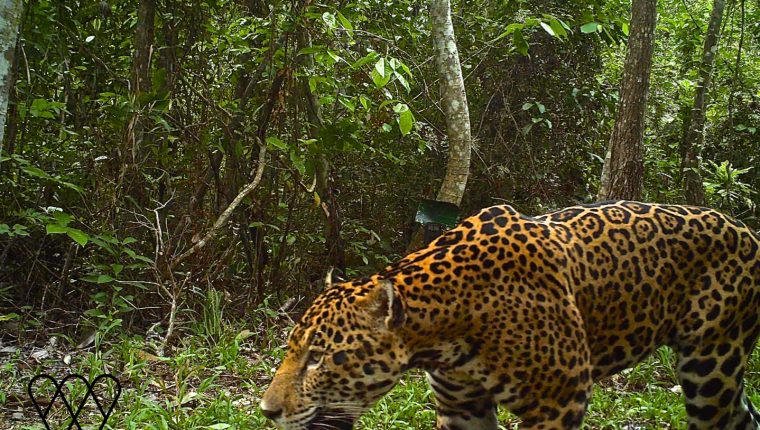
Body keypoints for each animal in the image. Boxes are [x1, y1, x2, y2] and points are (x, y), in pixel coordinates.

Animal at [260, 201, 760, 429]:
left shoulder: (558, 402)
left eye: (319, 358)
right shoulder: (461, 406)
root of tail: (745, 228)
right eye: (292, 351)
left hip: (710, 366)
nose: (266, 411)